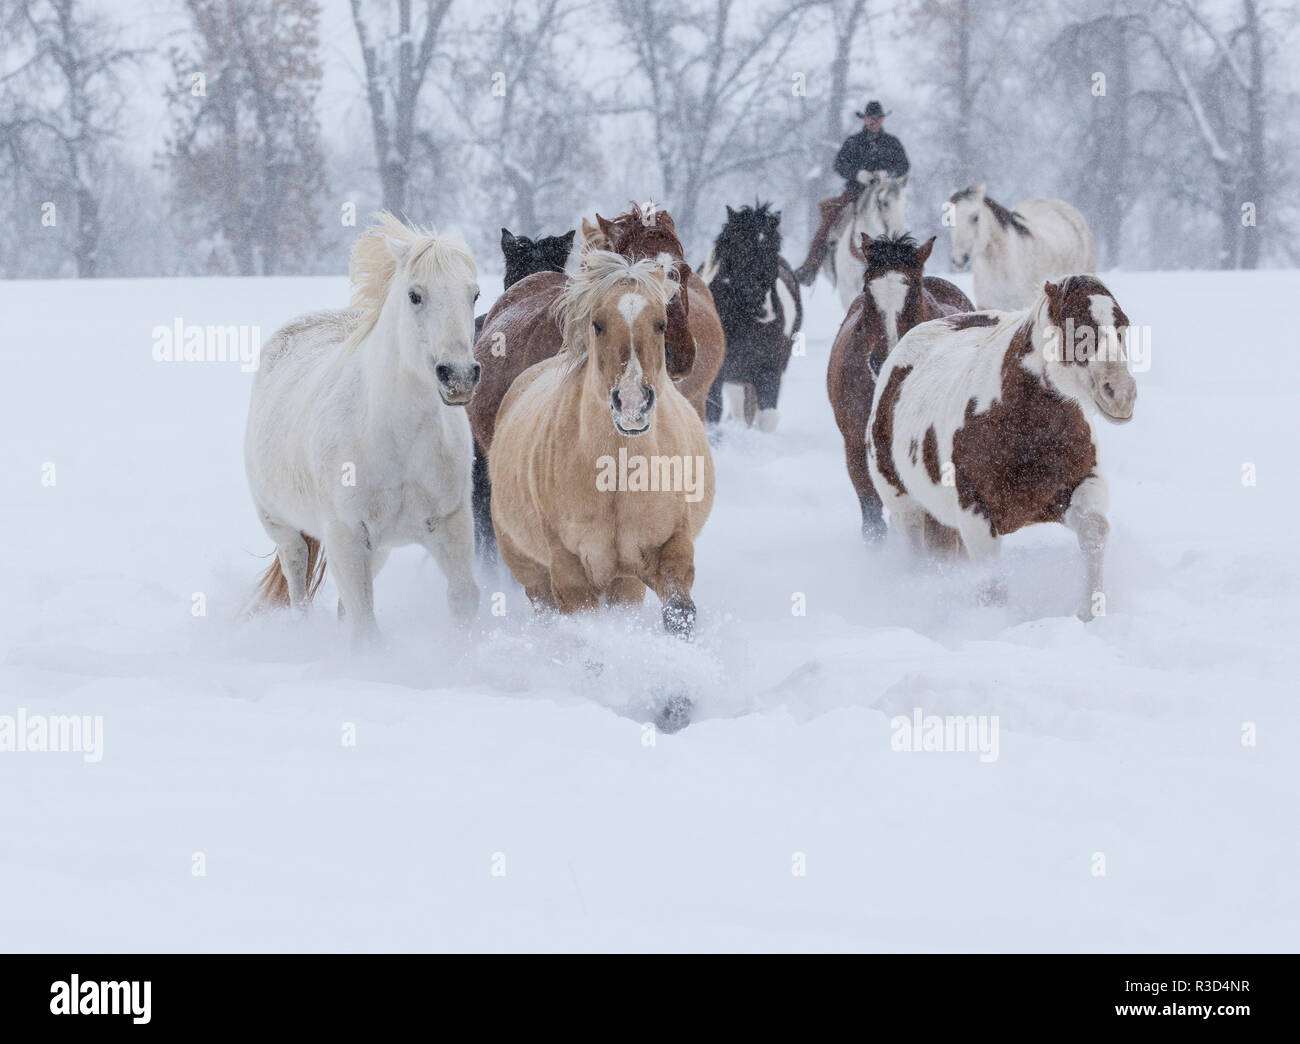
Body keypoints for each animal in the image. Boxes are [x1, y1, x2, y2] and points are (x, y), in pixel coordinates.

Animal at [245, 212, 481, 646]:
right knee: (297, 578)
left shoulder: (451, 526)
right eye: (415, 295)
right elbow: (365, 623)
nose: (458, 377)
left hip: (380, 548)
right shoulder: (346, 535)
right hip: (282, 526)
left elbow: (462, 598)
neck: (397, 439)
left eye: (473, 293)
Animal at [488, 250, 714, 652]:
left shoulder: (667, 548)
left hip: (625, 581)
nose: (632, 403)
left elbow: (680, 613)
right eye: (597, 324)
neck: (617, 473)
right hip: (531, 571)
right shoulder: (570, 570)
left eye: (660, 323)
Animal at [698, 202, 802, 431]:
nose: (763, 308)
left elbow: (767, 418)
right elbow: (712, 413)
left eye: (773, 247)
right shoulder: (716, 374)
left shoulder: (769, 372)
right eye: (738, 244)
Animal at [866, 275, 1137, 619]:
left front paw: (1089, 614)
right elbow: (992, 584)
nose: (1121, 394)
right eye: (1075, 326)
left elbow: (1094, 531)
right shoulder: (975, 514)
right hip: (905, 506)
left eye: (1122, 325)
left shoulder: (1078, 486)